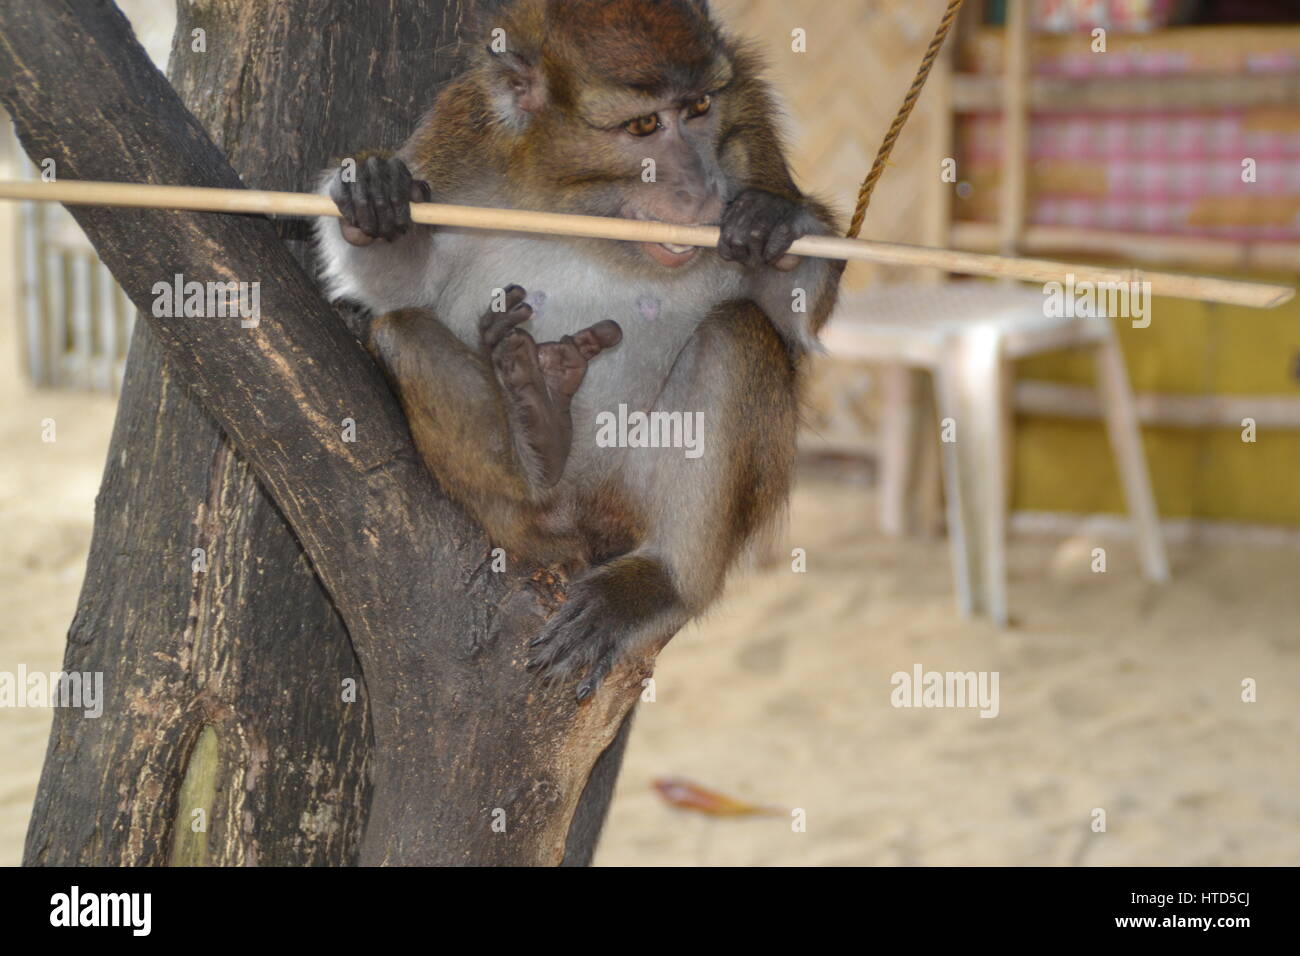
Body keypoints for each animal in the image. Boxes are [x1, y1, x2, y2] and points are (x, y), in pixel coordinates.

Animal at [315, 0, 844, 700]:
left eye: (700, 108)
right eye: (643, 125)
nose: (702, 185)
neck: (586, 210)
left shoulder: (748, 132)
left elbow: (789, 317)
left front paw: (777, 224)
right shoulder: (461, 141)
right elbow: (405, 288)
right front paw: (374, 199)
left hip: (632, 496)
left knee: (738, 332)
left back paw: (662, 580)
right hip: (522, 514)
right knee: (402, 331)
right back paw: (537, 447)